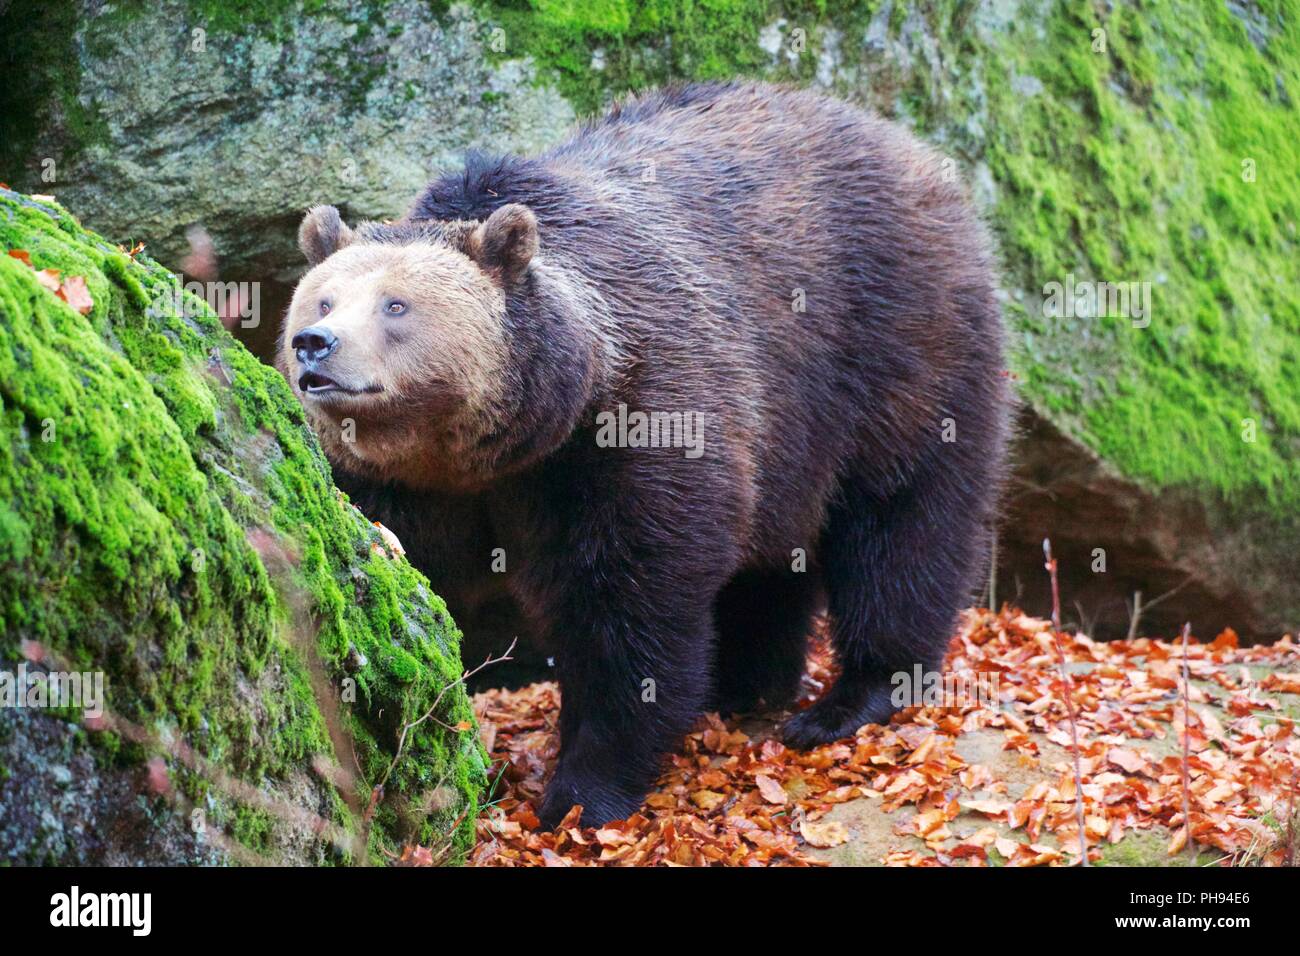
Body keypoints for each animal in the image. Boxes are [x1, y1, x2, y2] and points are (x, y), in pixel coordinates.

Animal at [278, 81, 1011, 829]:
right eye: (324, 298)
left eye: (395, 306)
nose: (315, 345)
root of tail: (904, 145)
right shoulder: (402, 482)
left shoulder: (635, 424)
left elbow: (629, 604)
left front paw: (582, 790)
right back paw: (746, 681)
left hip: (896, 344)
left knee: (902, 520)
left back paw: (850, 697)